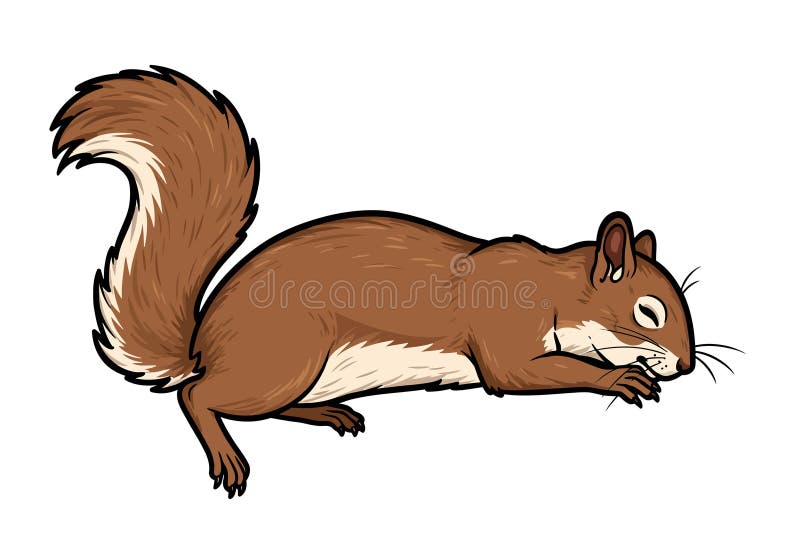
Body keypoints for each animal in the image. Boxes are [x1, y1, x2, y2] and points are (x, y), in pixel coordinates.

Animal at [52, 67, 696, 498]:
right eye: (648, 311)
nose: (688, 366)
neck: (552, 287)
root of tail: (202, 346)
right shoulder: (506, 333)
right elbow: (527, 372)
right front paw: (622, 377)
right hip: (284, 357)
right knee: (198, 396)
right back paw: (228, 456)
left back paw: (330, 415)